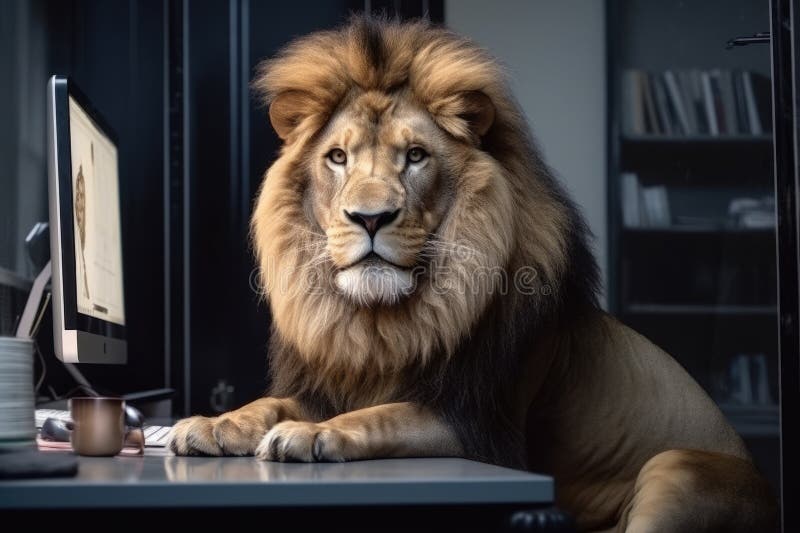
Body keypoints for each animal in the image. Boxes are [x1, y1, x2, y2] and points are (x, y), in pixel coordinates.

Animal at [167, 16, 777, 531]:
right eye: (337, 158)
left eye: (415, 156)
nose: (370, 217)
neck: (380, 324)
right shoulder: (328, 383)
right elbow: (270, 402)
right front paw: (212, 424)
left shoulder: (482, 430)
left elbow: (381, 415)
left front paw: (310, 434)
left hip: (675, 467)